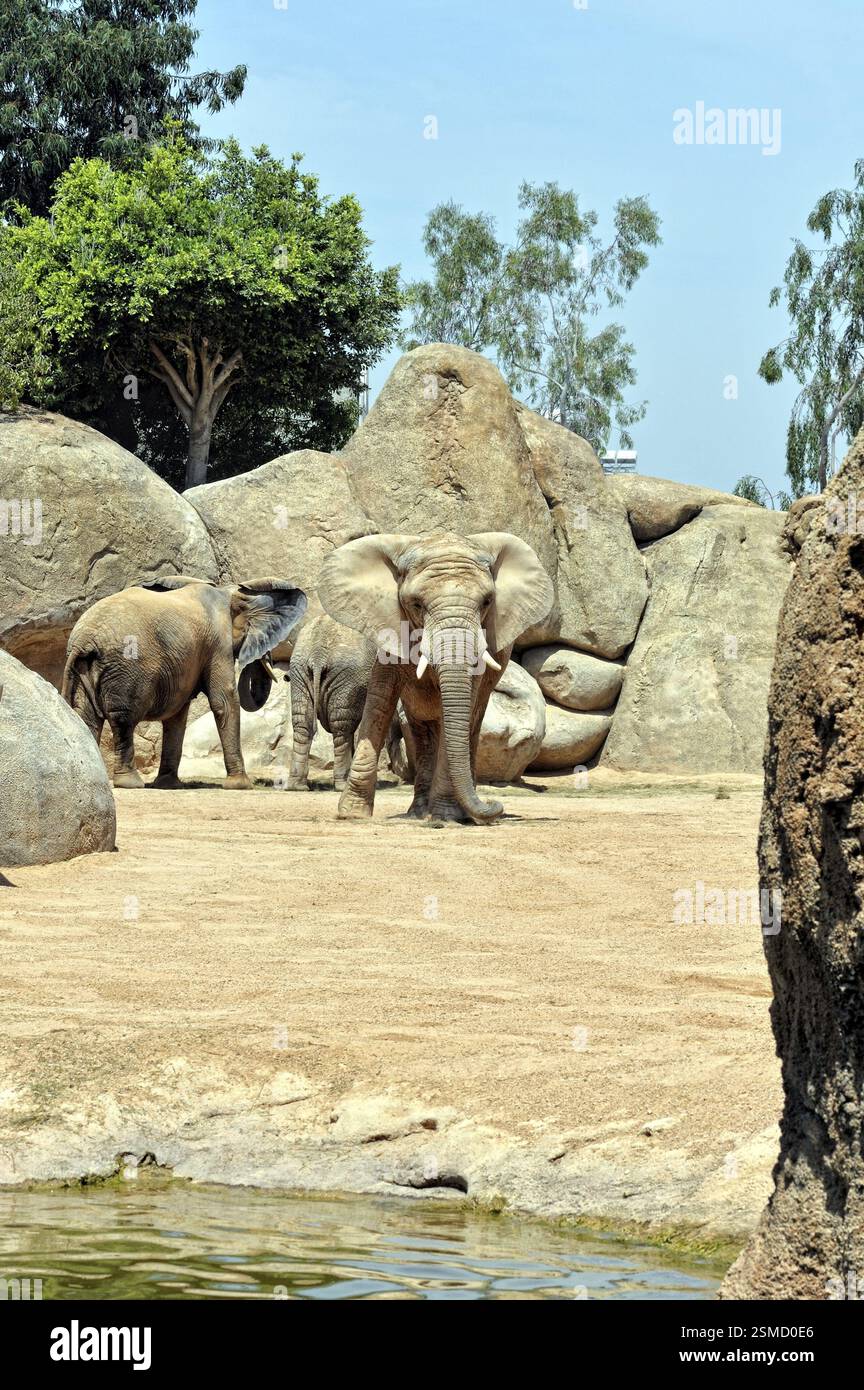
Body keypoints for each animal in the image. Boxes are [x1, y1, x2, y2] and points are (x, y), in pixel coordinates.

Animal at [62, 576, 307, 789]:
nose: (280, 673)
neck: (229, 593)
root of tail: (83, 640)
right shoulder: (218, 642)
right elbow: (223, 700)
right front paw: (241, 785)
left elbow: (177, 714)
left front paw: (168, 784)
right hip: (124, 668)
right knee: (123, 719)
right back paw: (130, 783)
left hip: (84, 669)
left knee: (86, 718)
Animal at [286, 614, 403, 791]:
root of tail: (317, 655)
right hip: (348, 676)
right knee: (342, 727)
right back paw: (342, 784)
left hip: (300, 671)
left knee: (303, 724)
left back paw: (297, 786)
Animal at [317, 530, 553, 824]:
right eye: (416, 604)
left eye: (487, 602)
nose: (496, 805)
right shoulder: (391, 630)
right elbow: (379, 700)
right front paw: (352, 815)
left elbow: (460, 709)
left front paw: (445, 817)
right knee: (423, 729)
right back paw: (419, 812)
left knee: (469, 724)